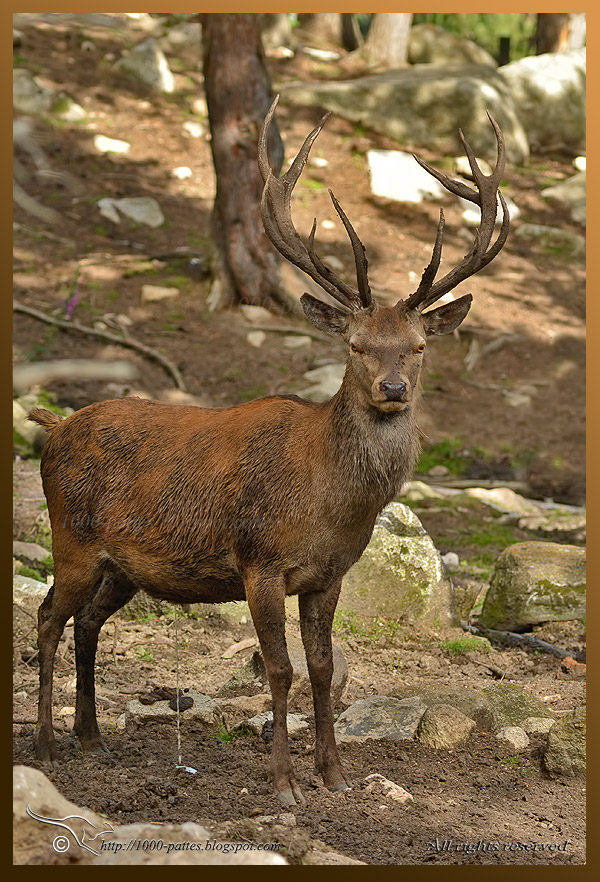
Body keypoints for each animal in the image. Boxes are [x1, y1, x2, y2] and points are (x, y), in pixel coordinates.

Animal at [27, 96, 509, 807]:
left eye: (418, 347)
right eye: (356, 345)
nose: (393, 389)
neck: (330, 502)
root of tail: (55, 427)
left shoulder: (330, 575)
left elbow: (324, 669)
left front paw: (333, 774)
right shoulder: (261, 562)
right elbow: (279, 670)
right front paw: (283, 783)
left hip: (122, 567)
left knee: (87, 624)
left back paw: (90, 738)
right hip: (73, 539)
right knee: (46, 619)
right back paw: (46, 744)